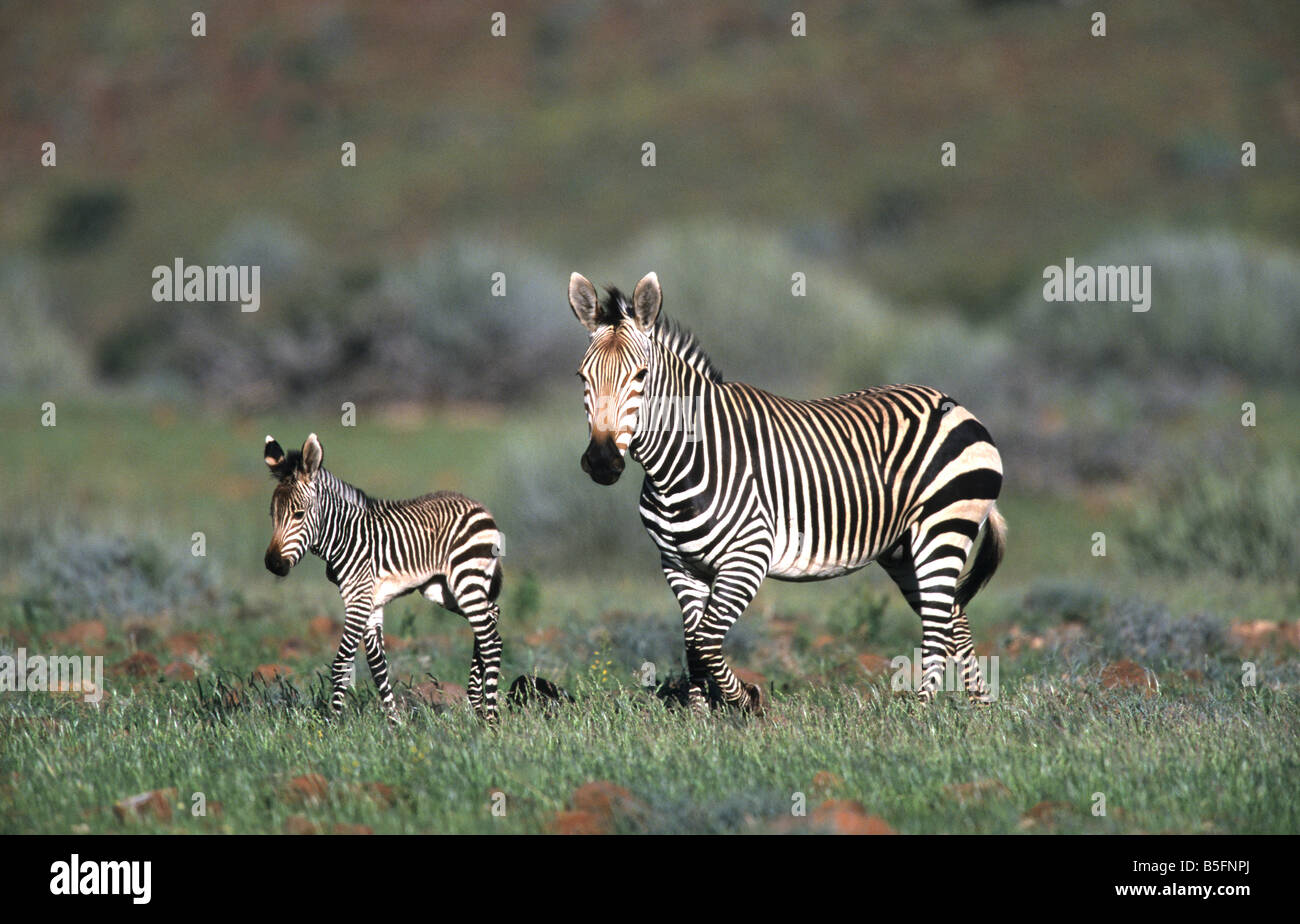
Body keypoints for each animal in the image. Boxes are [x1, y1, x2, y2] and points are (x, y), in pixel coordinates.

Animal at [262, 433, 504, 724]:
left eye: (298, 514)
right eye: (272, 515)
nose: (273, 564)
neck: (344, 537)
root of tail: (478, 507)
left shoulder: (358, 600)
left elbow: (342, 662)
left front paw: (332, 722)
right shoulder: (371, 602)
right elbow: (378, 665)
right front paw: (394, 722)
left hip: (466, 578)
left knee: (490, 640)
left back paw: (490, 718)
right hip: (443, 589)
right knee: (492, 619)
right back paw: (476, 702)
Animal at [568, 271, 1006, 713]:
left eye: (641, 376)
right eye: (582, 377)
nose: (602, 461)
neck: (680, 466)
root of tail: (952, 402)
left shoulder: (747, 557)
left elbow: (706, 641)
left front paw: (747, 698)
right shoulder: (679, 565)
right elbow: (693, 641)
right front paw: (698, 715)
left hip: (942, 526)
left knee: (937, 625)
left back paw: (921, 710)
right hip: (902, 549)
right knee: (954, 616)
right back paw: (979, 707)